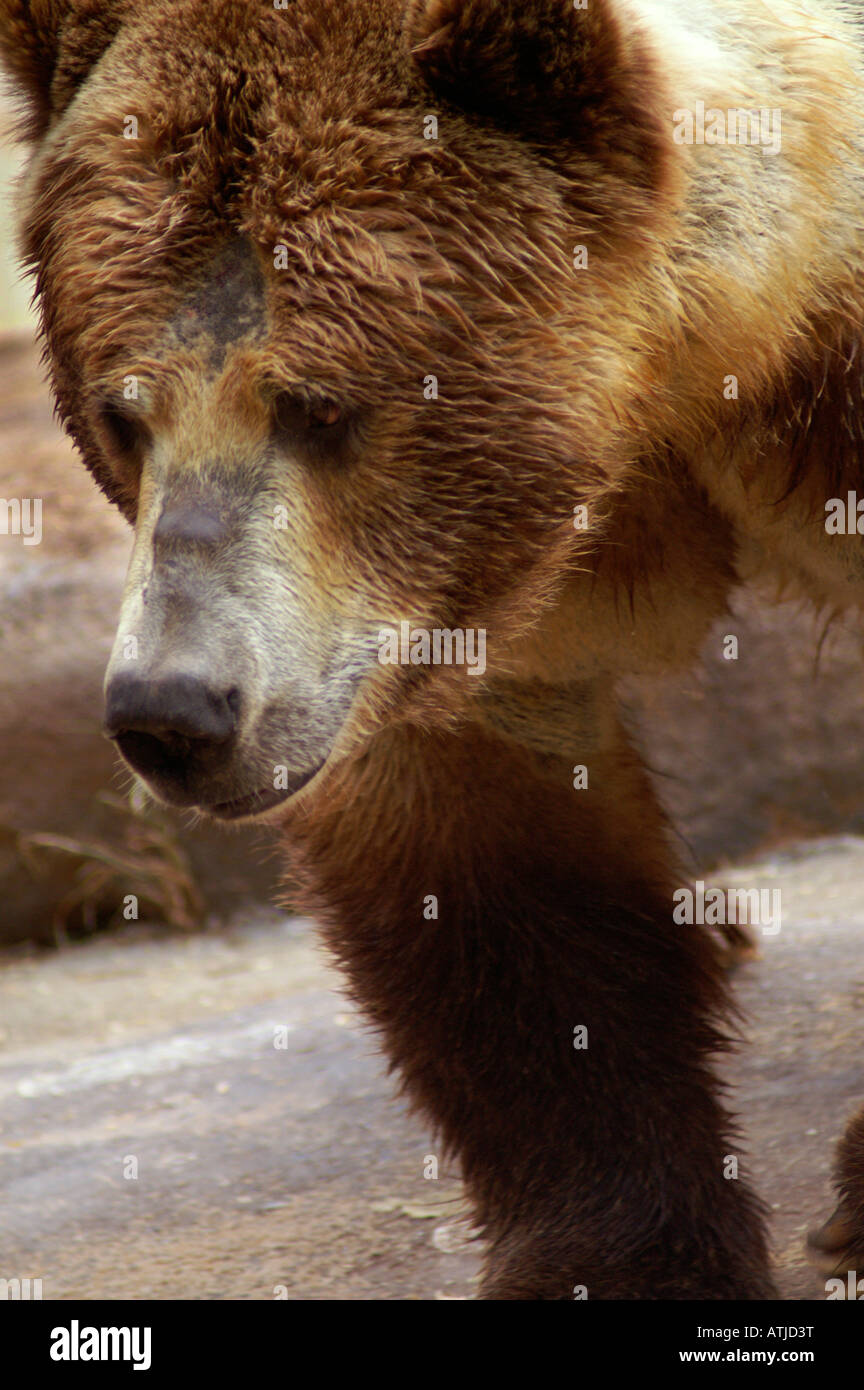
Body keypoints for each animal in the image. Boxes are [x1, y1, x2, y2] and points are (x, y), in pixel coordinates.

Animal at [2, 0, 864, 1299]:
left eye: (322, 405)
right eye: (121, 410)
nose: (175, 711)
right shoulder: (455, 593)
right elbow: (494, 868)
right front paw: (619, 1251)